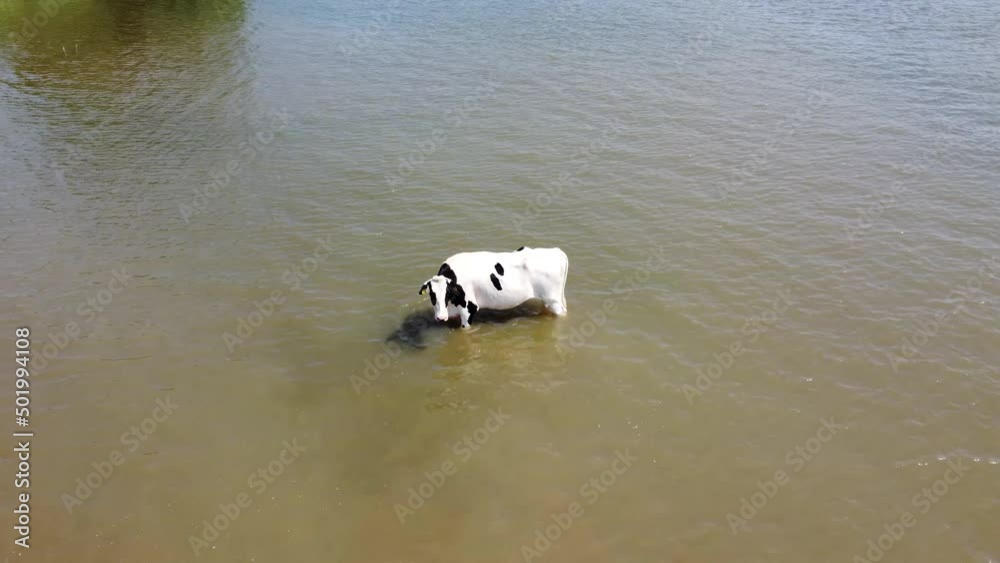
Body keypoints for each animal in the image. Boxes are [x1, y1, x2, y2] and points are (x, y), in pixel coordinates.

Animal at [418, 246, 568, 328]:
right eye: (432, 295)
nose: (440, 318)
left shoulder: (469, 308)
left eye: (448, 294)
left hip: (554, 300)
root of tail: (557, 252)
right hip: (547, 299)